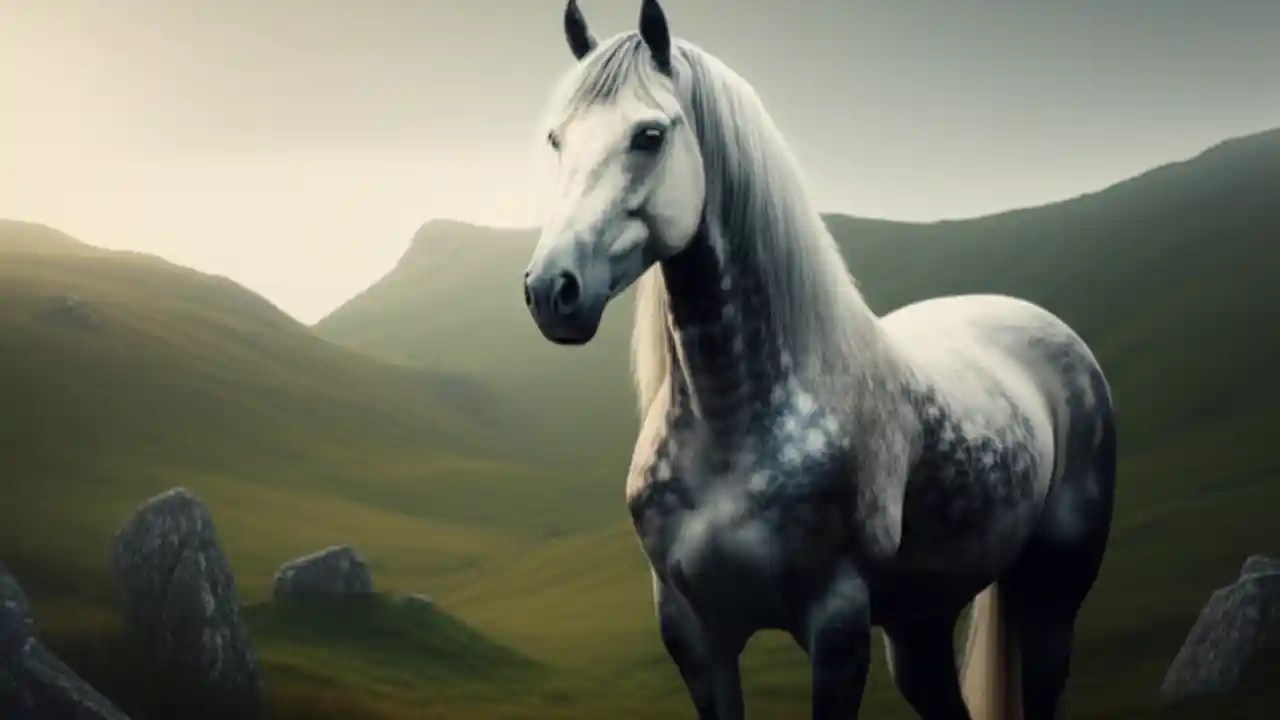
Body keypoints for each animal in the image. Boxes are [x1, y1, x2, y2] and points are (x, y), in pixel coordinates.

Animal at [521, 2, 1117, 718]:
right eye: (557, 140)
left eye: (649, 135)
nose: (551, 290)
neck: (730, 430)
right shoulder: (693, 635)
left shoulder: (836, 628)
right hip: (919, 624)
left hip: (1052, 599)